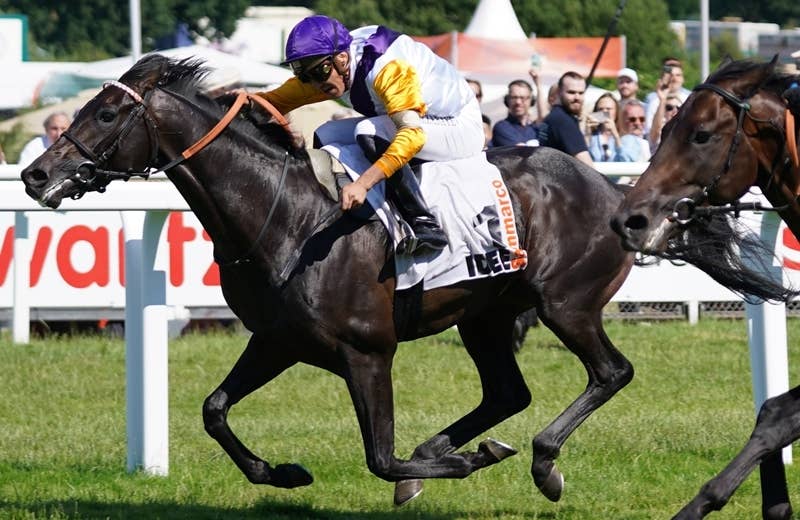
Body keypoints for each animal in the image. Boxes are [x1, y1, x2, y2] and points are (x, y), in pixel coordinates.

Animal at [21, 54, 638, 507]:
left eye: (105, 115)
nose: (34, 174)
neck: (291, 220)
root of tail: (614, 190)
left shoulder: (368, 351)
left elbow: (380, 458)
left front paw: (463, 461)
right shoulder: (277, 339)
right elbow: (214, 410)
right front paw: (283, 472)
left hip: (564, 303)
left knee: (611, 372)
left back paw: (540, 459)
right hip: (485, 314)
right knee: (508, 391)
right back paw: (441, 455)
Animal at [612, 56, 800, 520]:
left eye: (701, 135)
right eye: (663, 130)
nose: (629, 220)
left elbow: (779, 418)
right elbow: (772, 409)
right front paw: (776, 505)